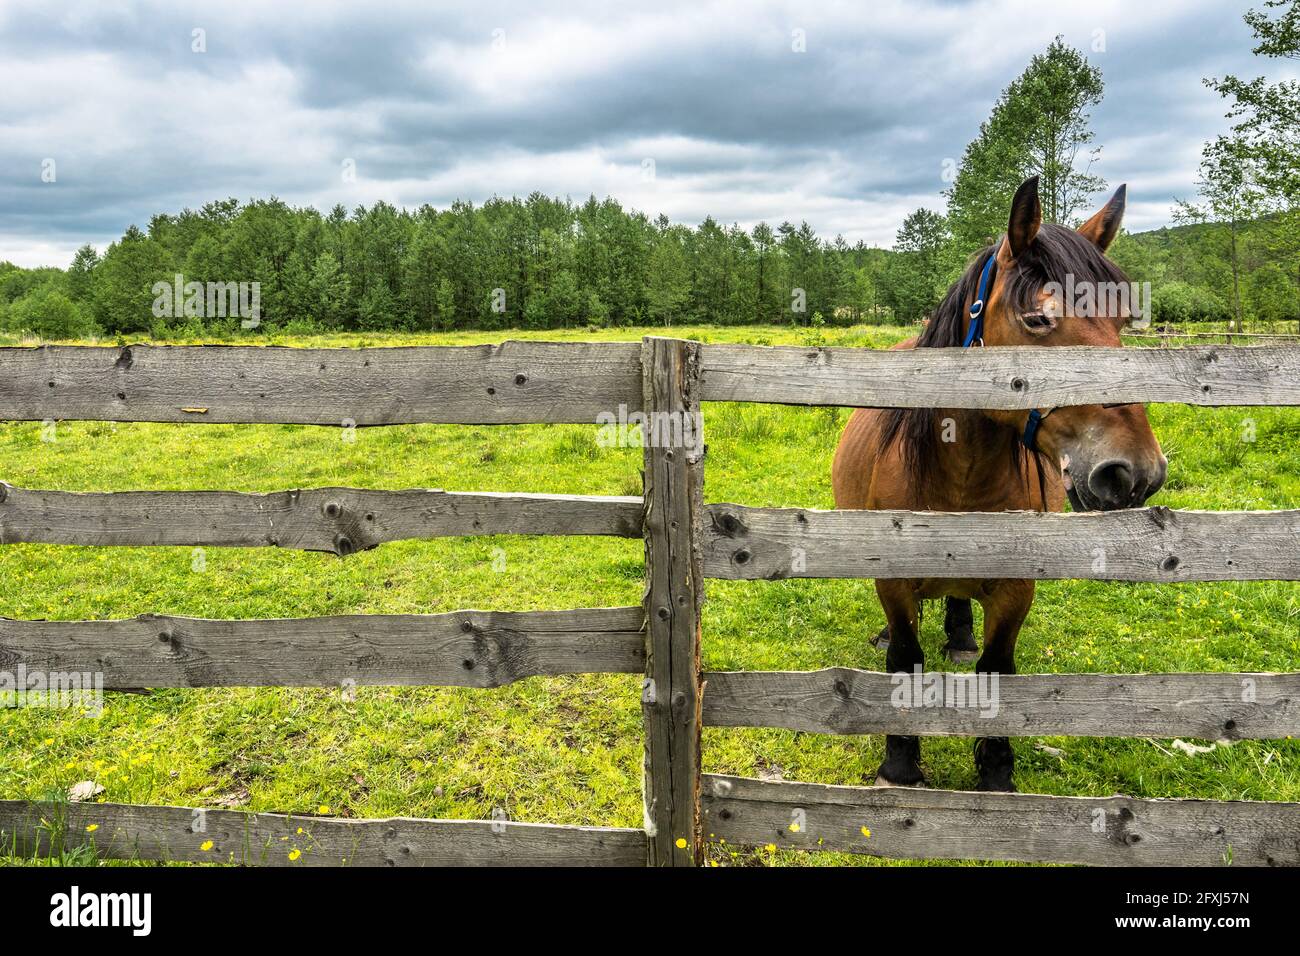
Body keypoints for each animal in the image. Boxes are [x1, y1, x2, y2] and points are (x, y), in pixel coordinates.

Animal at [831, 176, 1167, 792]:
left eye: (1123, 323)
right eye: (1037, 320)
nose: (1135, 471)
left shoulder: (1015, 589)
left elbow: (998, 670)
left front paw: (995, 772)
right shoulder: (893, 579)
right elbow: (905, 660)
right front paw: (900, 764)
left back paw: (960, 637)